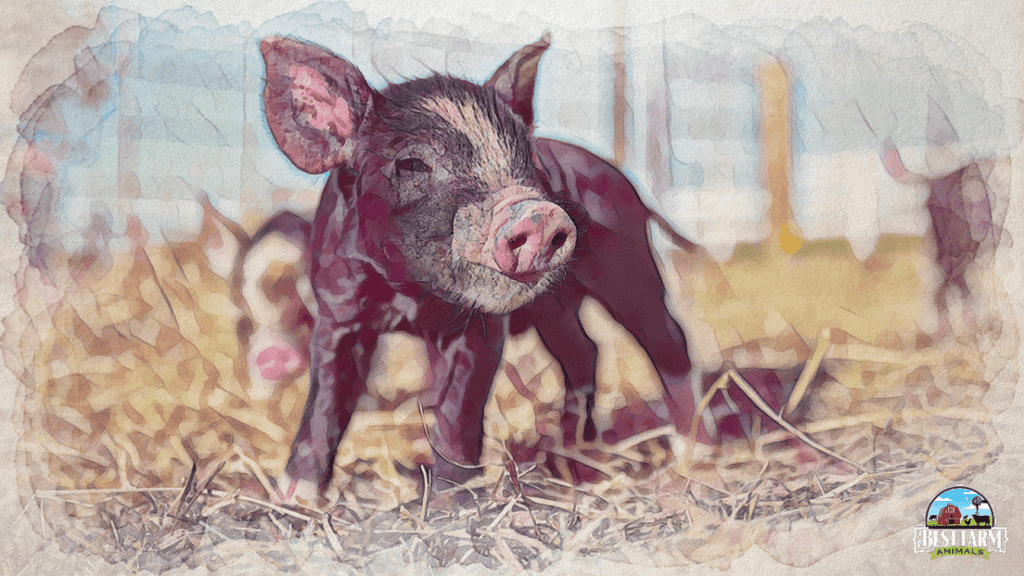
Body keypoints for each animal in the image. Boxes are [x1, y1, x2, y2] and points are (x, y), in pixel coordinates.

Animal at [260, 34, 748, 502]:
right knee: (584, 351)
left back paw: (696, 453)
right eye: (412, 163)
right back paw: (570, 457)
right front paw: (296, 499)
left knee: (669, 343)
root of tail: (624, 180)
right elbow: (326, 403)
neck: (407, 293)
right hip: (556, 307)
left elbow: (457, 411)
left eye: (525, 156)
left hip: (629, 266)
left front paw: (452, 504)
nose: (537, 213)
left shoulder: (479, 329)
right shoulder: (338, 312)